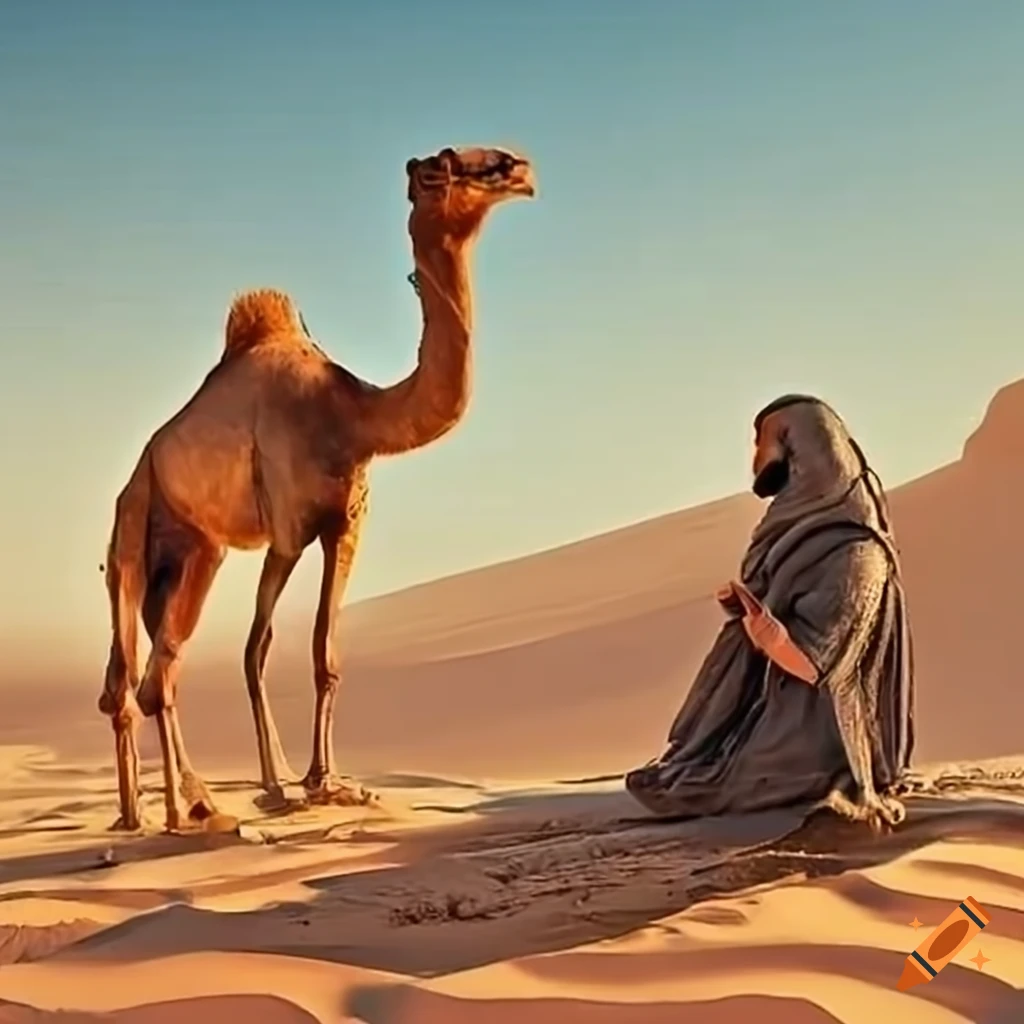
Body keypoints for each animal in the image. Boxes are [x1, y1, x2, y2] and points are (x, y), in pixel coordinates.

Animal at [99, 146, 536, 832]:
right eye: (439, 168)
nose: (516, 167)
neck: (353, 415)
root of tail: (133, 476)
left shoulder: (344, 525)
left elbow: (322, 654)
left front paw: (322, 781)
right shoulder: (287, 532)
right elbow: (258, 648)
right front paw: (287, 785)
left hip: (196, 553)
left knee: (149, 675)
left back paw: (159, 812)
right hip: (132, 535)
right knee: (139, 680)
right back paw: (175, 812)